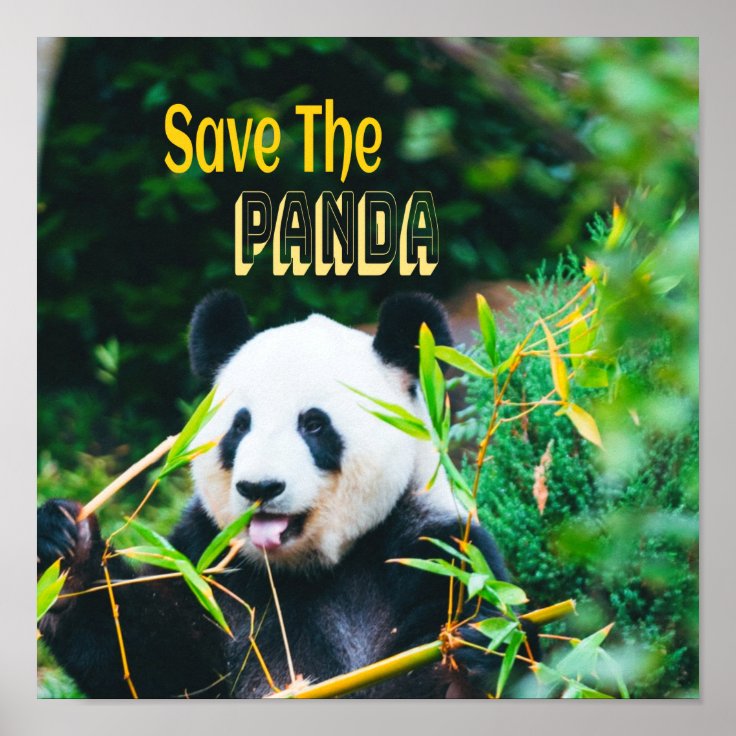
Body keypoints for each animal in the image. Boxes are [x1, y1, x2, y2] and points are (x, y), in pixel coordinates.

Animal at [37, 291, 521, 699]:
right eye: (239, 425)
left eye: (314, 425)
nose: (261, 487)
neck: (306, 568)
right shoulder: (207, 559)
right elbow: (152, 660)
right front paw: (67, 551)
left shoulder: (433, 548)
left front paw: (473, 651)